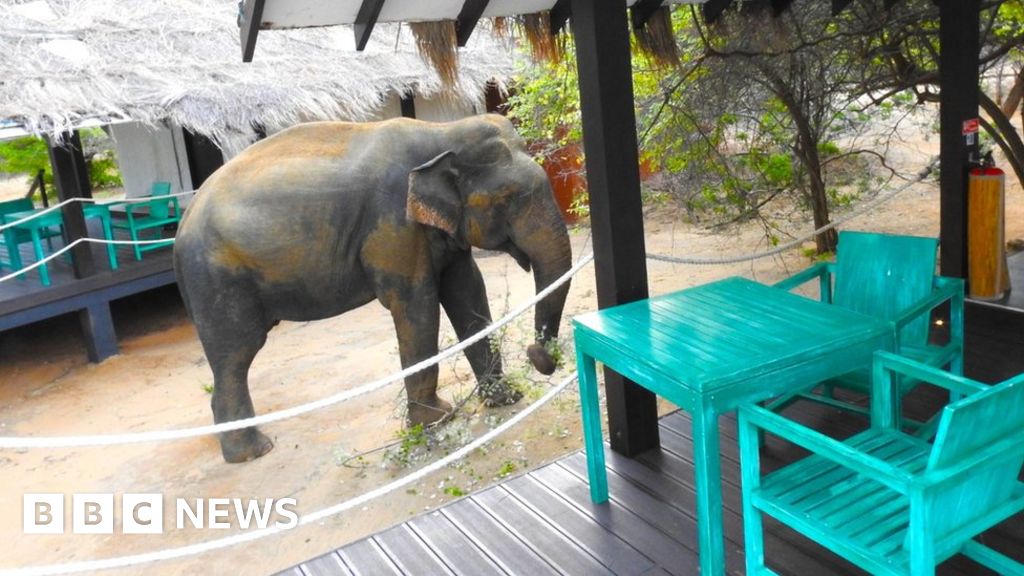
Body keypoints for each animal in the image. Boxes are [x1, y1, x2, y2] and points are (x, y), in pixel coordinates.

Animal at [173, 114, 573, 463]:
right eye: (508, 199)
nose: (537, 354)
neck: (441, 132)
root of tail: (182, 223)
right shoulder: (393, 222)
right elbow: (417, 305)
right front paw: (437, 420)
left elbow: (468, 293)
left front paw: (505, 399)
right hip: (216, 279)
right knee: (236, 355)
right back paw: (254, 452)